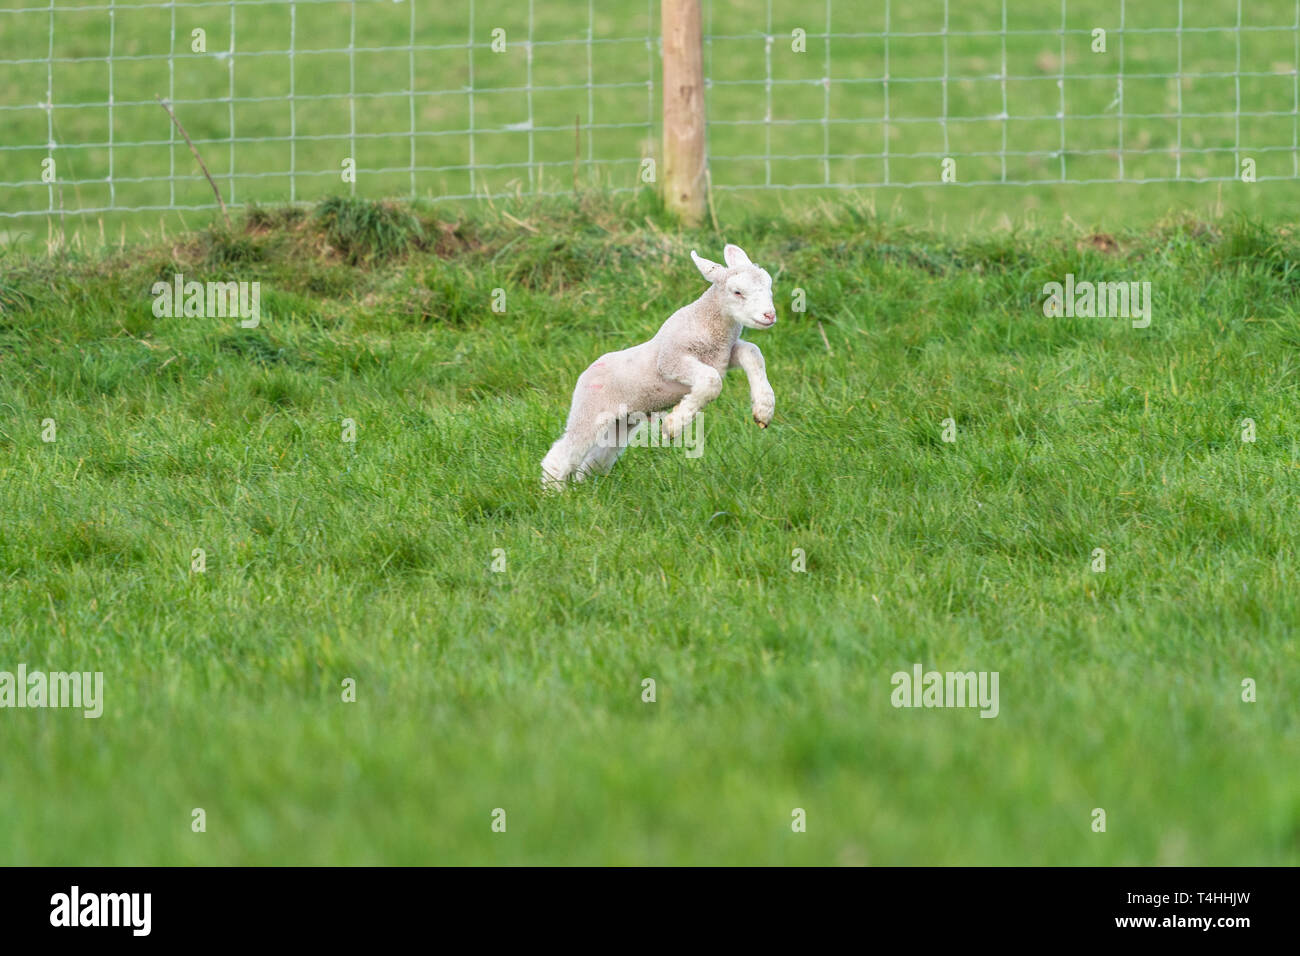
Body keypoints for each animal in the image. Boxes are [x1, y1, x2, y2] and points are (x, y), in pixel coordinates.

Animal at [541, 243, 777, 489]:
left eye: (769, 287)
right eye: (737, 292)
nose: (769, 315)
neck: (711, 326)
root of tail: (586, 372)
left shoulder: (725, 355)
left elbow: (753, 353)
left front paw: (764, 409)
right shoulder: (670, 360)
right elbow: (711, 381)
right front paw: (674, 424)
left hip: (620, 423)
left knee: (594, 460)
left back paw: (583, 487)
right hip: (590, 410)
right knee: (561, 455)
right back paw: (555, 492)